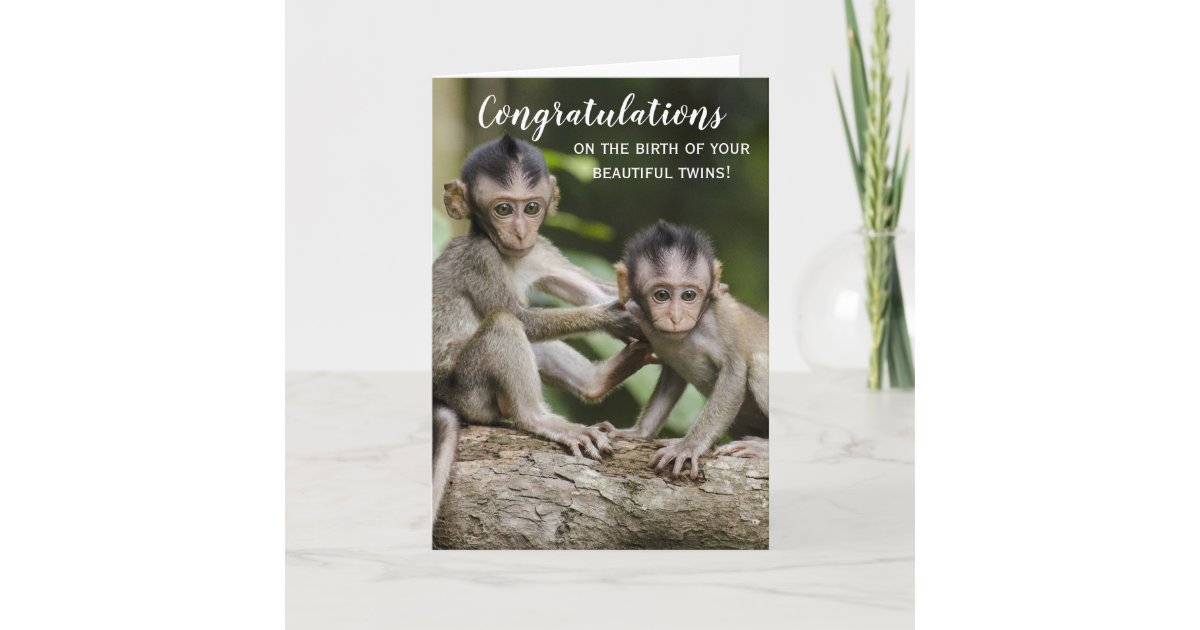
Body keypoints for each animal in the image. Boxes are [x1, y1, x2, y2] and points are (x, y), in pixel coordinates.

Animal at [432, 134, 651, 519]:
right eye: (503, 209)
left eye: (531, 208)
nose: (520, 232)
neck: (509, 256)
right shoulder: (480, 258)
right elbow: (521, 318)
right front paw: (614, 317)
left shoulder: (540, 251)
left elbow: (593, 290)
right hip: (467, 390)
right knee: (504, 323)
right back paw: (539, 419)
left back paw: (597, 381)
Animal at [608, 221, 769, 479]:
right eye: (661, 295)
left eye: (689, 295)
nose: (676, 318)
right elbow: (671, 377)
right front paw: (638, 432)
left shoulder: (724, 318)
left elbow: (734, 373)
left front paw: (688, 445)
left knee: (758, 364)